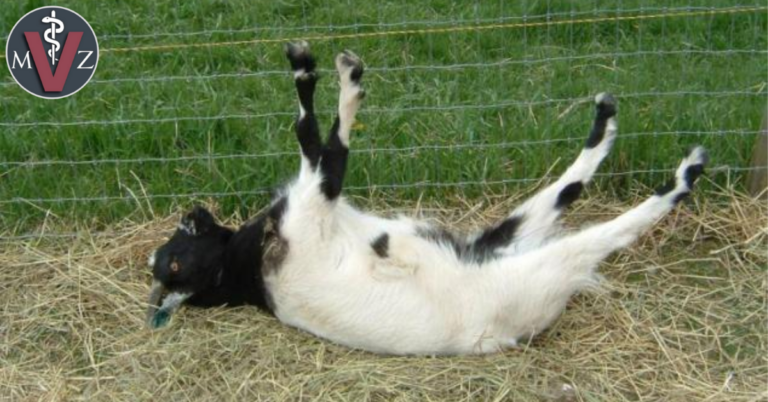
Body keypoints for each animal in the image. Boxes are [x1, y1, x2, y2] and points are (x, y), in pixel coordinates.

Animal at [145, 42, 707, 355]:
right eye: (173, 263)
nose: (193, 212)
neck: (250, 268)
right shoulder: (315, 203)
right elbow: (320, 140)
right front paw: (334, 73)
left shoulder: (317, 201)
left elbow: (313, 140)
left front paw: (314, 65)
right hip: (530, 267)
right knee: (604, 234)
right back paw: (686, 171)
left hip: (491, 239)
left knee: (564, 189)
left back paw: (606, 120)